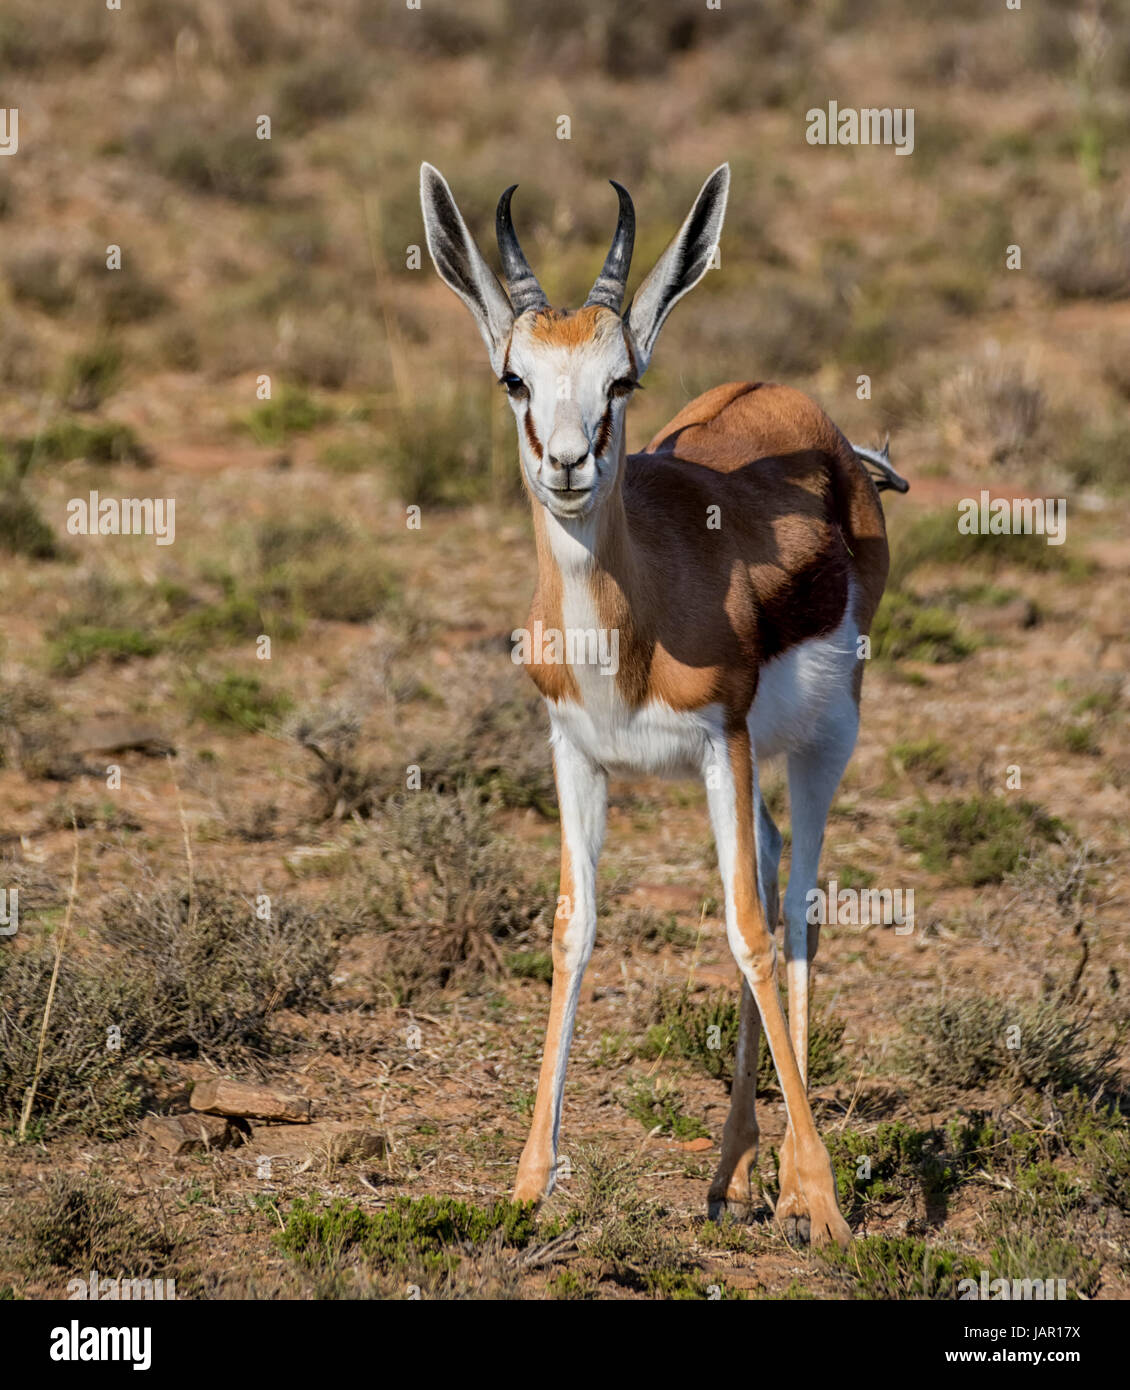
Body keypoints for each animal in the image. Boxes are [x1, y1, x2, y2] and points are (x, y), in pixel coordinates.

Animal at [420, 161, 905, 1247]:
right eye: (514, 378)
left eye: (619, 380)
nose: (567, 465)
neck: (628, 629)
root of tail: (809, 417)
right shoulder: (575, 752)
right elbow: (574, 928)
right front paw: (528, 1181)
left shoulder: (722, 738)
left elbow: (749, 932)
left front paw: (819, 1195)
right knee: (767, 860)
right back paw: (733, 1171)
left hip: (824, 739)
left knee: (794, 902)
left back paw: (786, 1184)